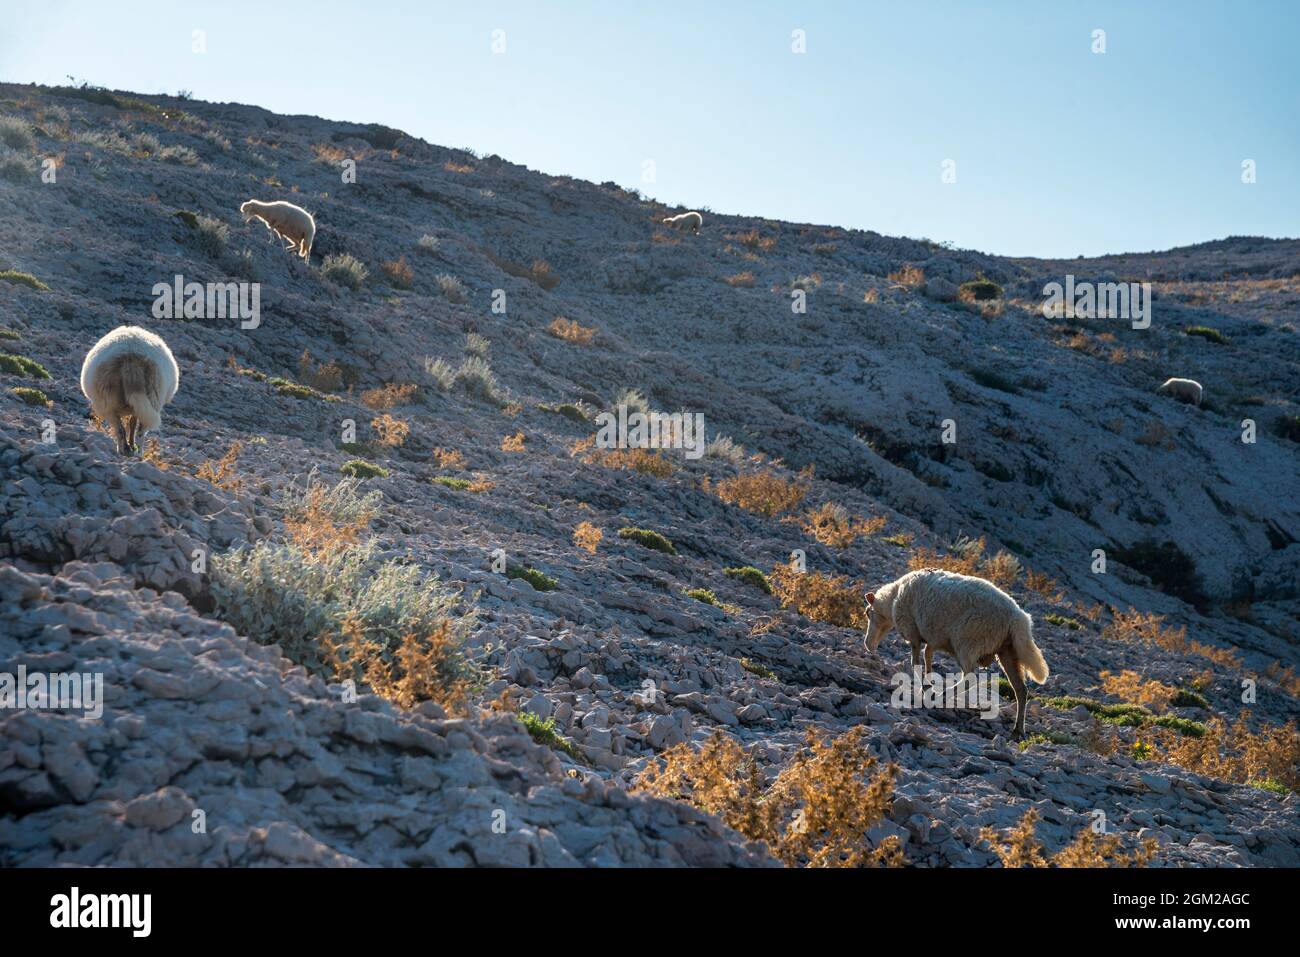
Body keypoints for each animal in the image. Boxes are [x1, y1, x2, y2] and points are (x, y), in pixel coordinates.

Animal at [80, 325, 179, 456]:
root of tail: (131, 358)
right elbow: (132, 423)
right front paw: (131, 445)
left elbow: (131, 423)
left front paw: (130, 445)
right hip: (152, 397)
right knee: (138, 431)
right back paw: (137, 452)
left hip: (107, 401)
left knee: (121, 430)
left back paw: (125, 450)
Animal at [864, 568, 1049, 738]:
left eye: (867, 613)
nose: (867, 644)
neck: (892, 599)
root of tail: (1017, 617)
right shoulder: (933, 637)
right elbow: (927, 656)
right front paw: (928, 683)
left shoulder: (913, 632)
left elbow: (915, 662)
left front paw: (924, 687)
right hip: (1007, 651)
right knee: (1020, 689)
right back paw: (1018, 729)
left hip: (967, 642)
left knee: (970, 678)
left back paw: (942, 696)